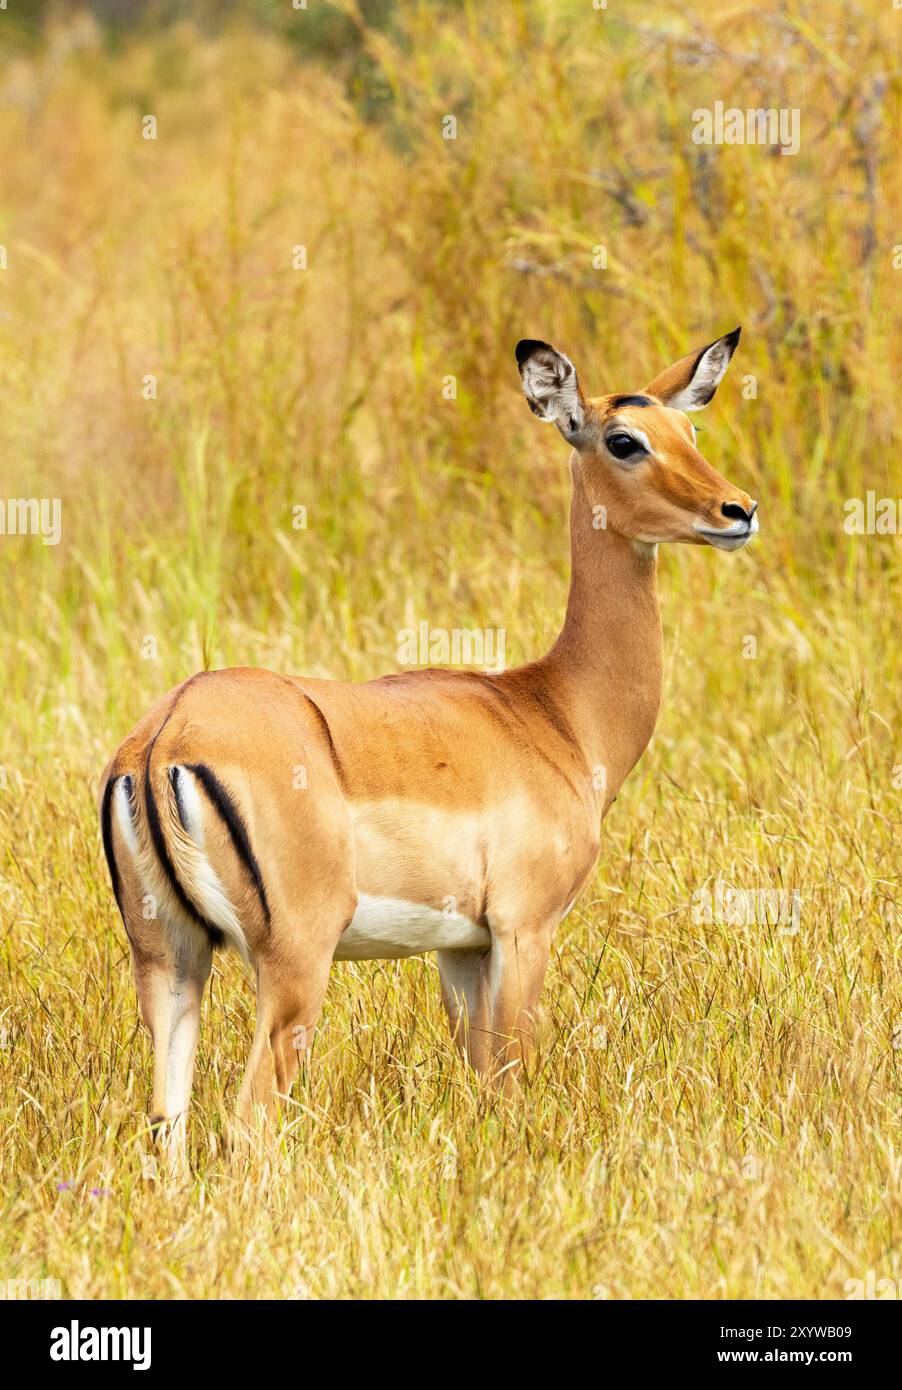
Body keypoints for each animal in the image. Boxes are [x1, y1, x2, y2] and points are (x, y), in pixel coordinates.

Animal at [99, 328, 758, 1162]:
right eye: (624, 440)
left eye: (689, 432)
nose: (737, 510)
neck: (556, 712)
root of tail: (164, 737)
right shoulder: (523, 930)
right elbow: (511, 1085)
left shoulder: (461, 948)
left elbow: (482, 1085)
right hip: (294, 964)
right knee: (248, 1124)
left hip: (170, 959)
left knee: (167, 1127)